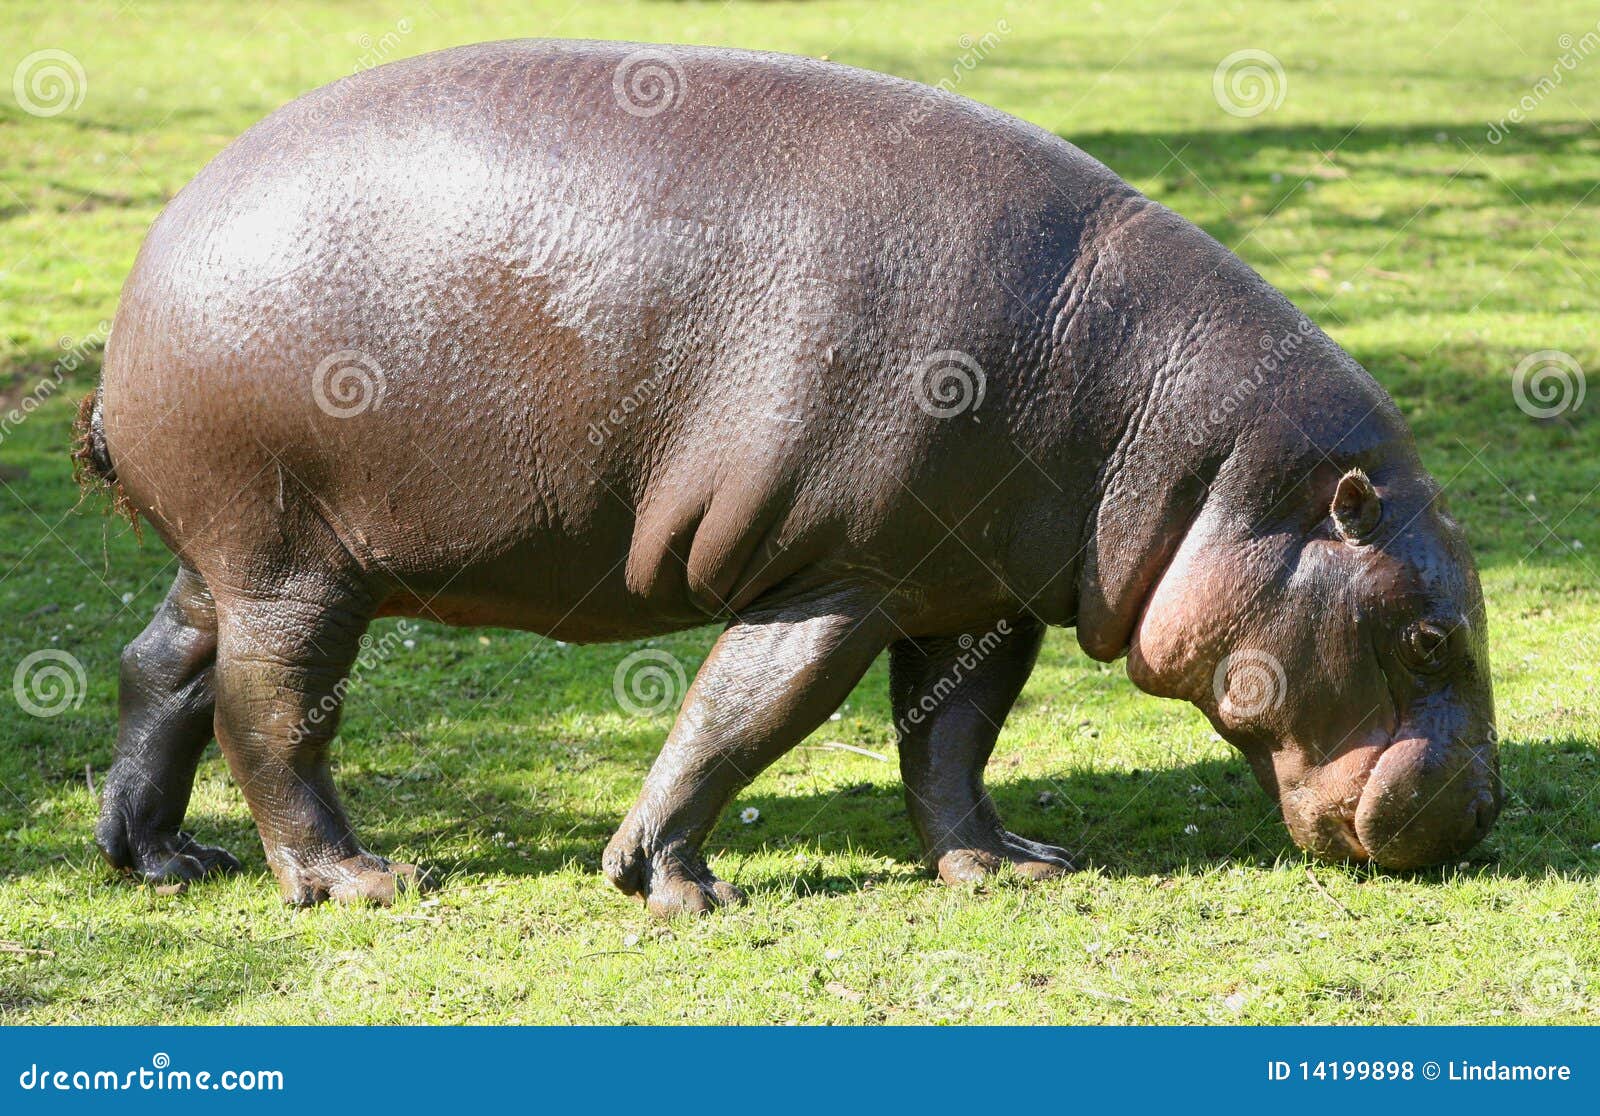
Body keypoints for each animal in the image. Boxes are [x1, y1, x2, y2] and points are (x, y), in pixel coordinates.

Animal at [77, 39, 1501, 916]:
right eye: (1429, 639)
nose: (1485, 811)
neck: (1206, 463)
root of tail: (151, 259)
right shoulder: (840, 575)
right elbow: (745, 713)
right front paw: (672, 886)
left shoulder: (973, 590)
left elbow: (951, 740)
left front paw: (1009, 865)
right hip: (296, 564)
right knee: (271, 712)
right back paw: (362, 881)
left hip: (230, 557)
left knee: (165, 666)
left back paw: (162, 859)